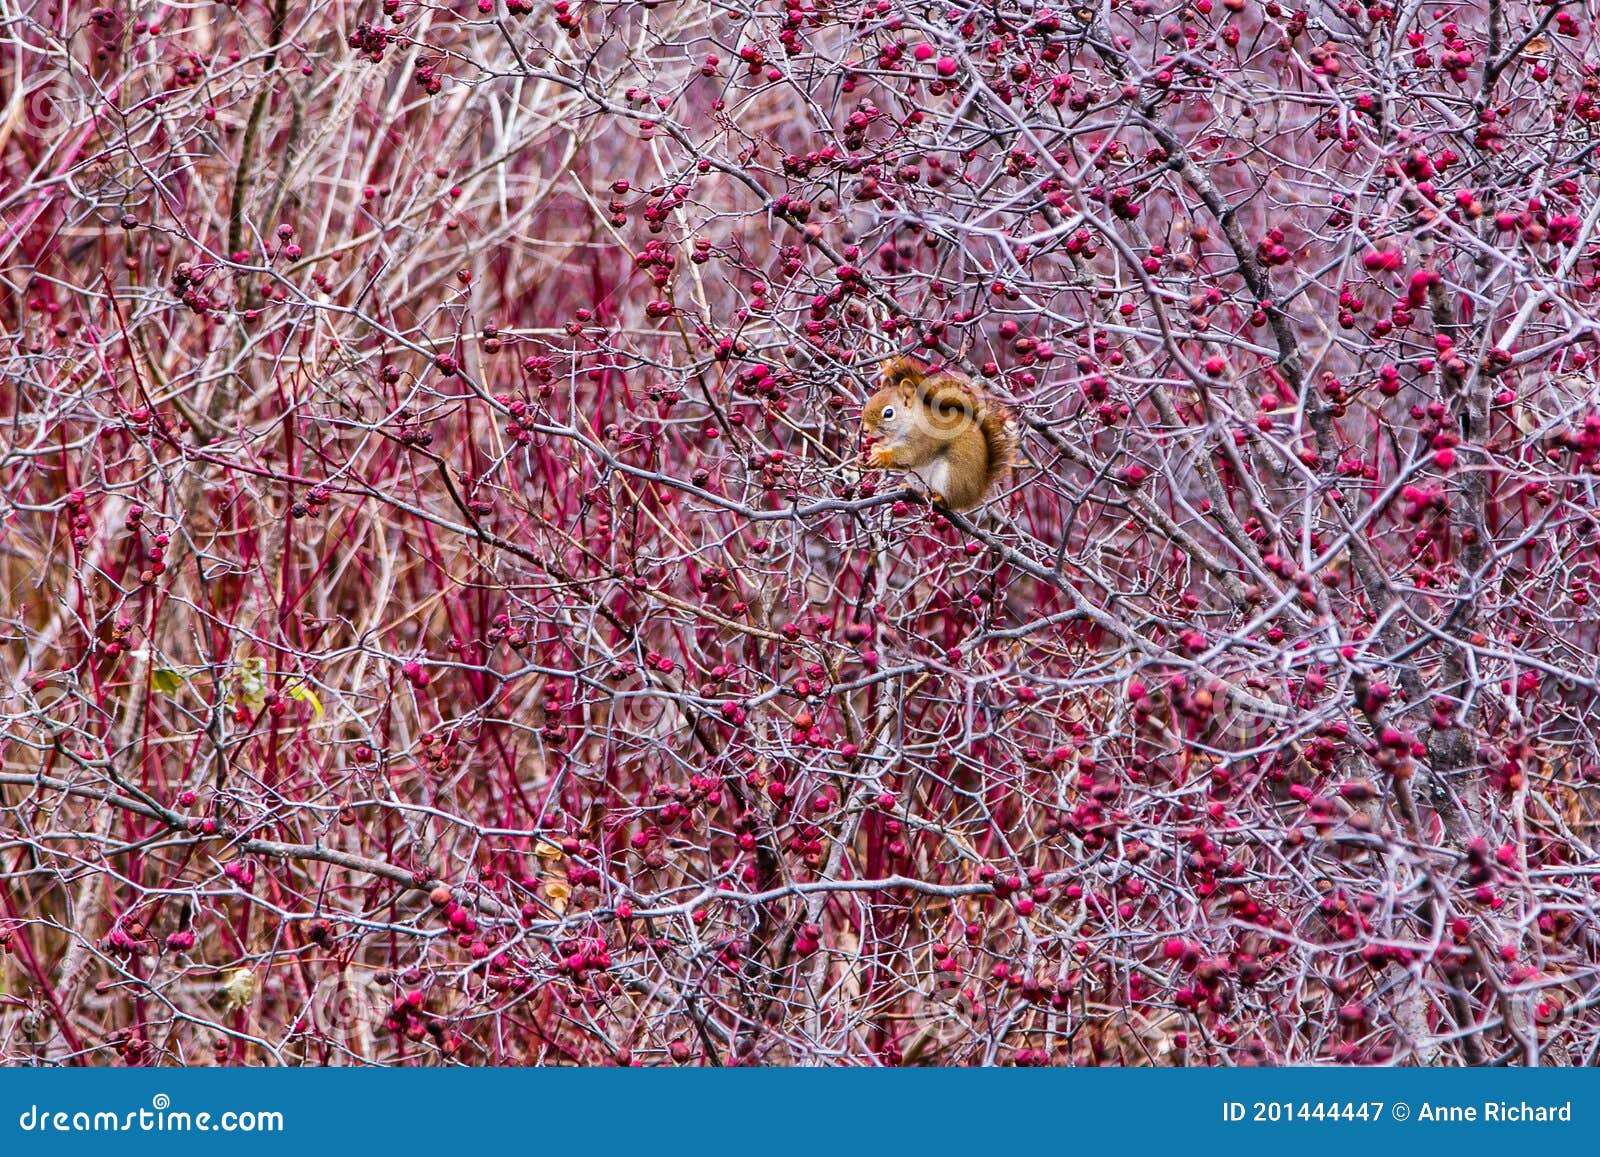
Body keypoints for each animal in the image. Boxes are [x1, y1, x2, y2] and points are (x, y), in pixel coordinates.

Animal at [859, 356, 1018, 511]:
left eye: (888, 413)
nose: (865, 430)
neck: (911, 421)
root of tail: (974, 495)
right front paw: (864, 456)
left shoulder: (924, 438)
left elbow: (909, 455)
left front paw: (881, 456)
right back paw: (910, 489)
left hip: (950, 475)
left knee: (949, 502)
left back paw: (939, 497)